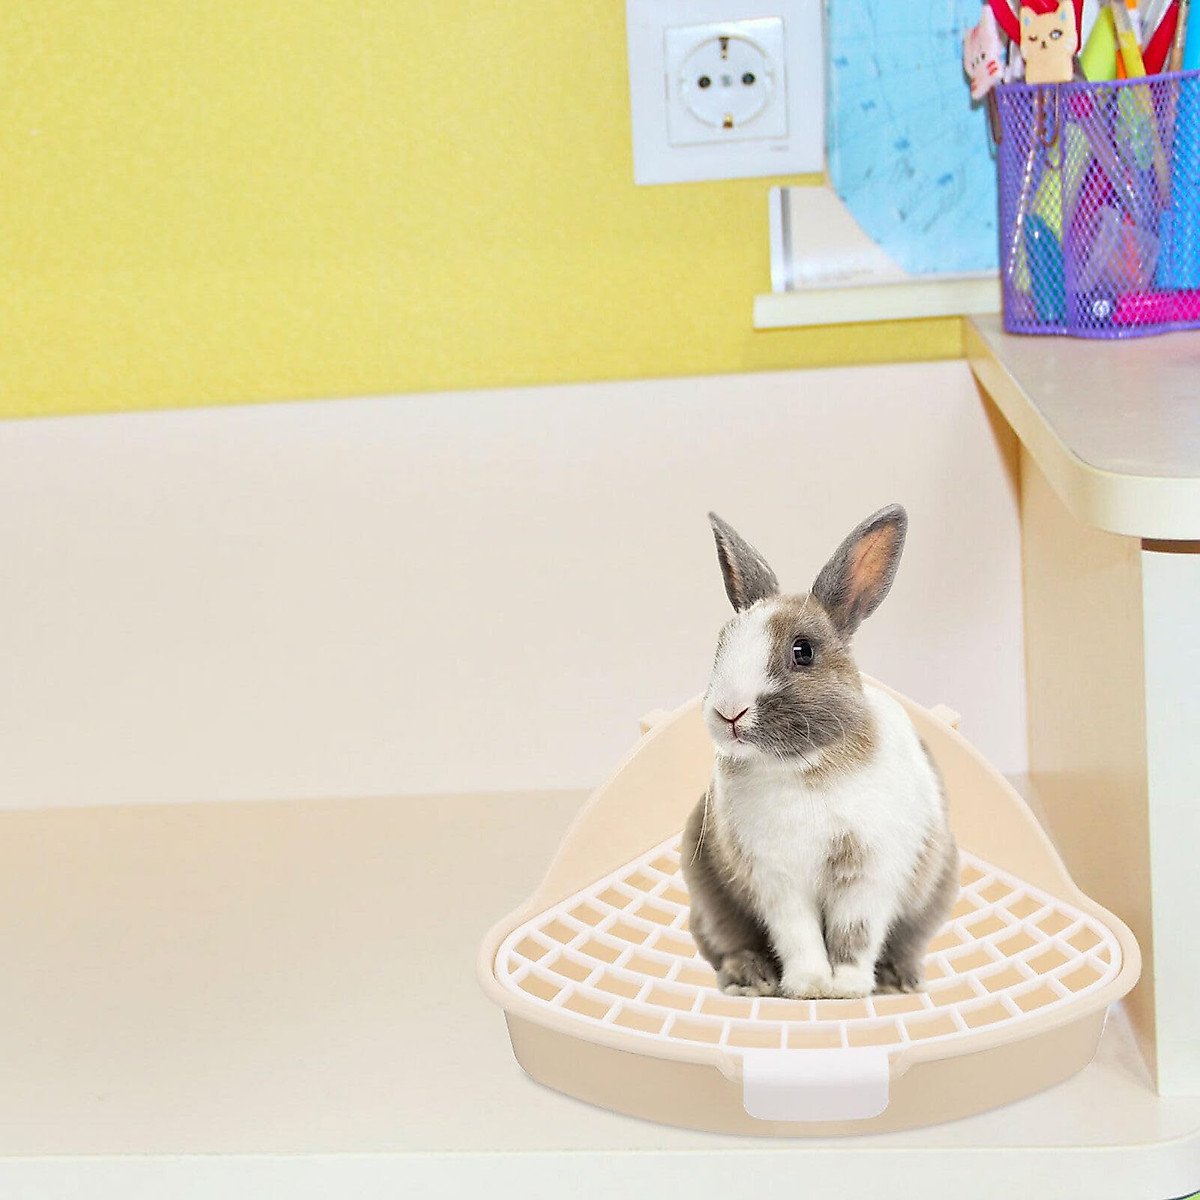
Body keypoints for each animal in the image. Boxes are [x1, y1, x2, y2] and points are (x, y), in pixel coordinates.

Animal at [682, 505, 958, 1000]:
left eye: (803, 651)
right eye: (721, 645)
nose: (729, 712)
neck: (802, 767)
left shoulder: (867, 875)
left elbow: (855, 935)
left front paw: (845, 988)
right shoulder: (778, 882)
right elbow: (800, 935)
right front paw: (809, 986)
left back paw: (900, 981)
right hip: (708, 901)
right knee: (729, 943)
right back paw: (752, 979)